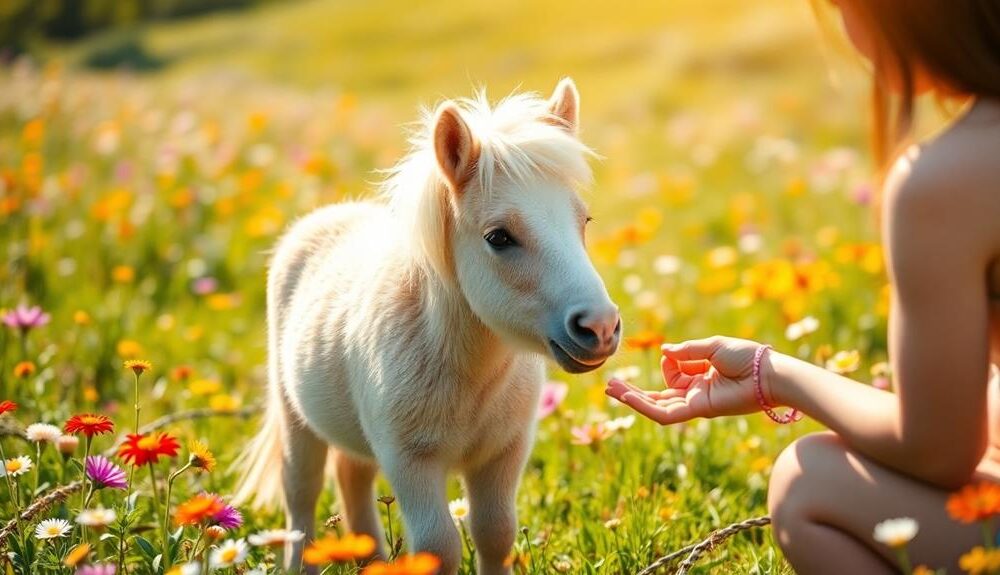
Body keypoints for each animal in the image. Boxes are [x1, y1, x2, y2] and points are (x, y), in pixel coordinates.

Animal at [233, 78, 621, 575]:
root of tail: (324, 218)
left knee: (352, 477)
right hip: (296, 419)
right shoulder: (409, 460)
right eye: (498, 237)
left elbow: (496, 533)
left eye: (583, 220)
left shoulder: (503, 453)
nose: (600, 328)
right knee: (301, 496)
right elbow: (439, 546)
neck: (467, 372)